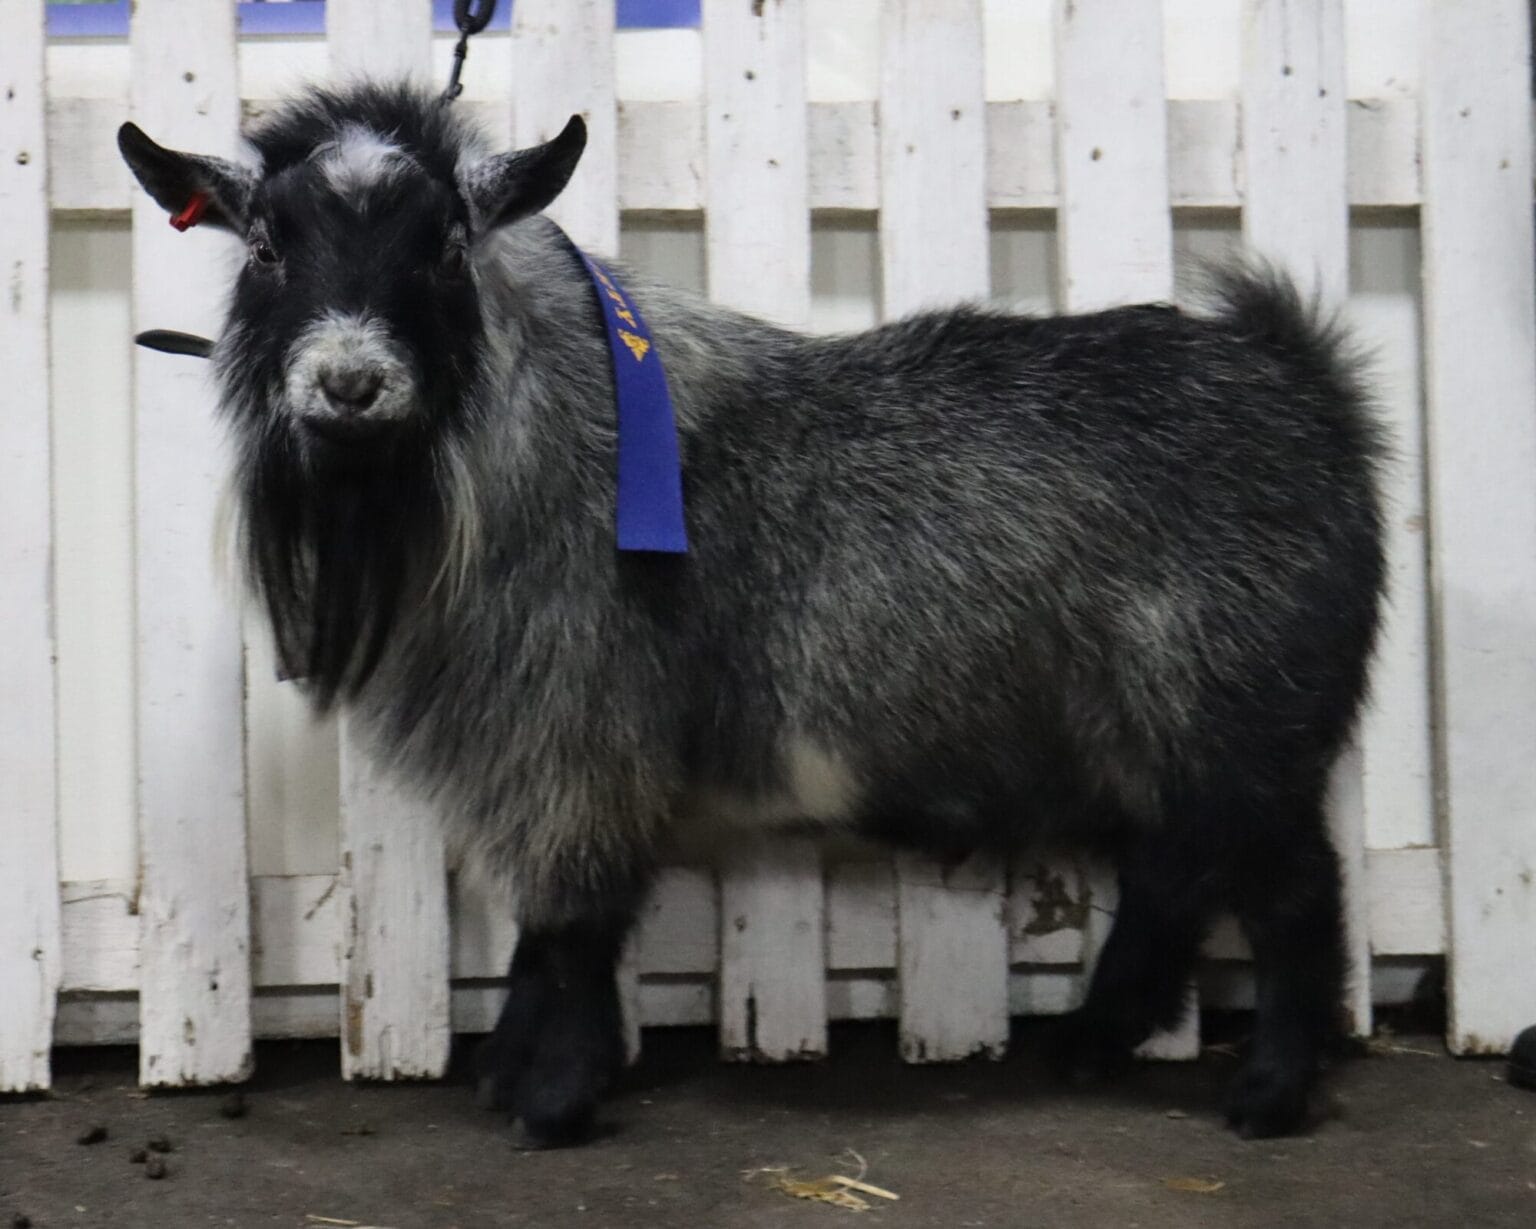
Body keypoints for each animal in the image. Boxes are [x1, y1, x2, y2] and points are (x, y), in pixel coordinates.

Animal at [118, 81, 1385, 1147]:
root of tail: (1307, 390)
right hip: (1155, 734)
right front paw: (511, 1072)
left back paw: (1269, 1092)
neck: (525, 444)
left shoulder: (579, 733)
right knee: (1175, 873)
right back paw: (1089, 1040)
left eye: (443, 246)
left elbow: (573, 920)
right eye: (267, 247)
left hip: (1241, 720)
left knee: (1292, 893)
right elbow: (542, 929)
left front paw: (553, 1098)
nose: (348, 384)